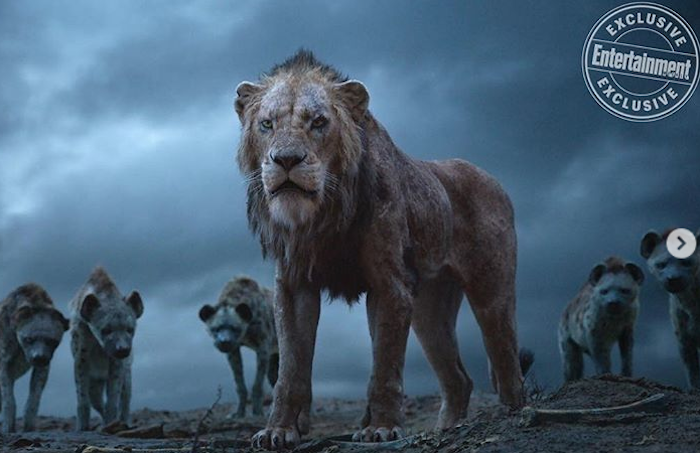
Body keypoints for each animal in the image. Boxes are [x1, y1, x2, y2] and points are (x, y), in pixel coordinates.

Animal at [234, 50, 528, 450]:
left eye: (319, 122)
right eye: (266, 124)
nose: (287, 160)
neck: (323, 215)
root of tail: (494, 180)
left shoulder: (389, 284)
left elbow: (385, 362)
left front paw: (381, 428)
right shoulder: (294, 286)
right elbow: (290, 368)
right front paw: (278, 430)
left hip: (491, 291)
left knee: (505, 355)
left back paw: (514, 413)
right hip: (428, 311)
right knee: (458, 379)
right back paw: (446, 429)